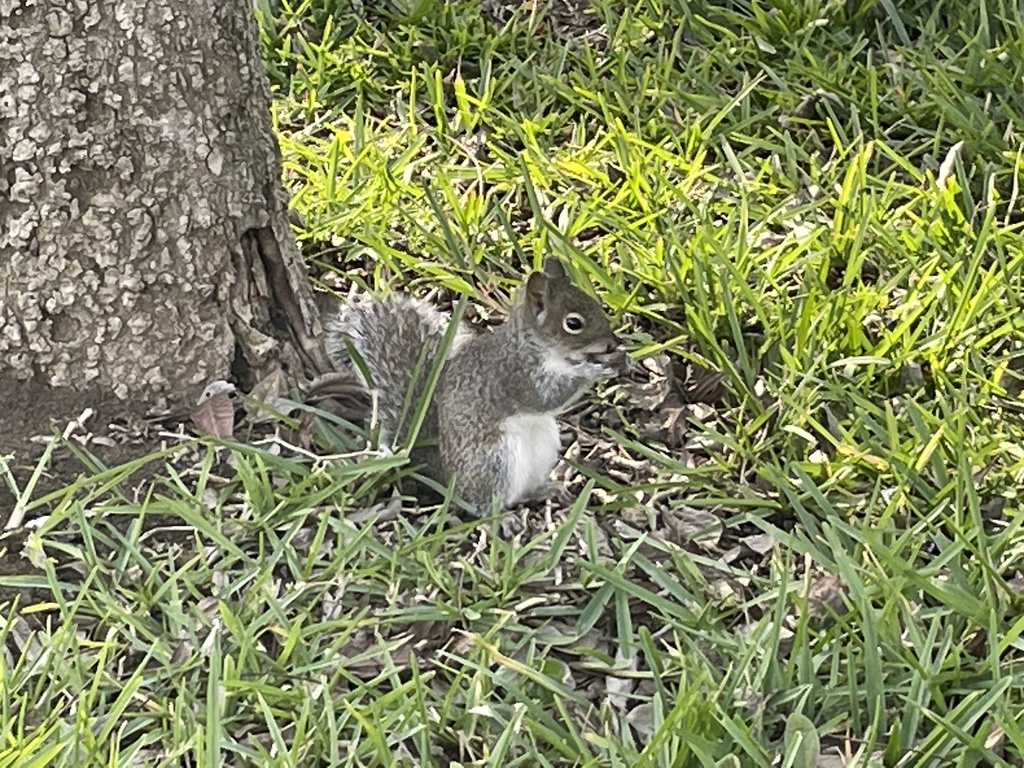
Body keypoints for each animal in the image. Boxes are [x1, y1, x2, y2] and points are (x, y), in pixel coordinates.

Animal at [322, 258, 628, 514]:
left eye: (595, 303)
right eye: (573, 323)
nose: (613, 342)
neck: (541, 348)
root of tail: (447, 478)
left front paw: (622, 360)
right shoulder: (515, 375)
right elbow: (545, 397)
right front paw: (592, 370)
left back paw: (544, 490)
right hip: (494, 461)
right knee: (482, 505)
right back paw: (500, 519)